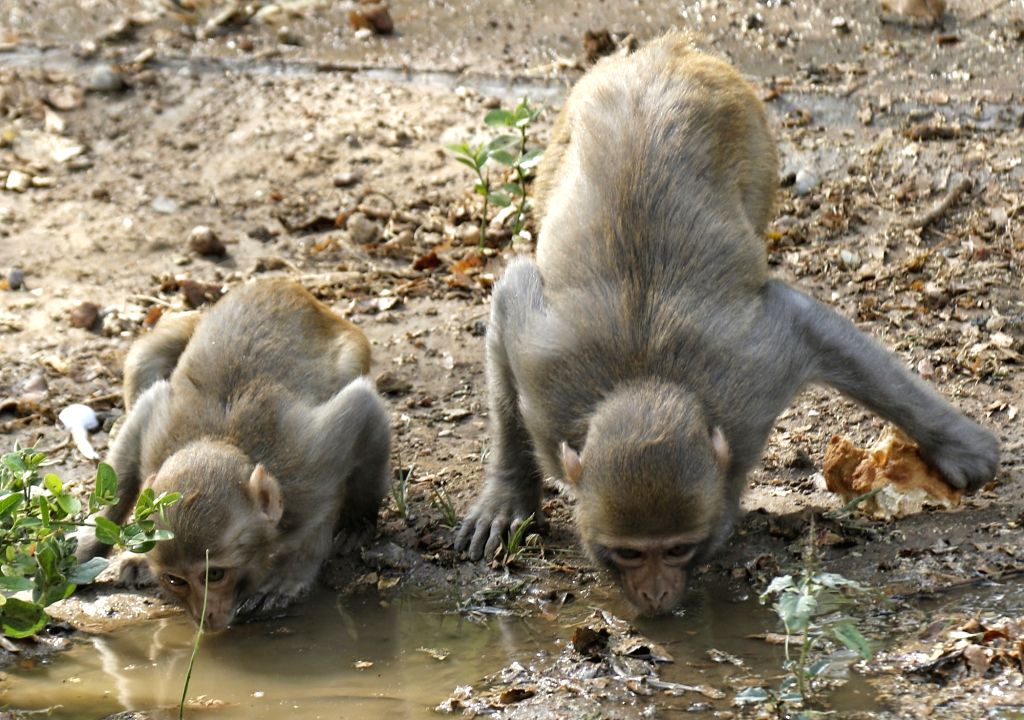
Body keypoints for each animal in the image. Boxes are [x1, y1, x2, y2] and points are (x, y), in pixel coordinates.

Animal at [77, 278, 391, 631]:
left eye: (214, 574)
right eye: (176, 580)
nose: (205, 616)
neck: (226, 442)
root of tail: (283, 285)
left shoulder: (311, 463)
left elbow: (363, 409)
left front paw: (301, 564)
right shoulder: (155, 431)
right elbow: (138, 425)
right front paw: (81, 557)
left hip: (351, 350)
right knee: (146, 357)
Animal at [455, 33, 1000, 615]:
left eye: (677, 549)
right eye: (629, 553)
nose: (655, 594)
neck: (645, 378)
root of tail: (664, 54)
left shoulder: (755, 378)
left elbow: (818, 331)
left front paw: (959, 445)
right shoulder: (543, 376)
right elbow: (510, 304)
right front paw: (509, 495)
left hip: (754, 140)